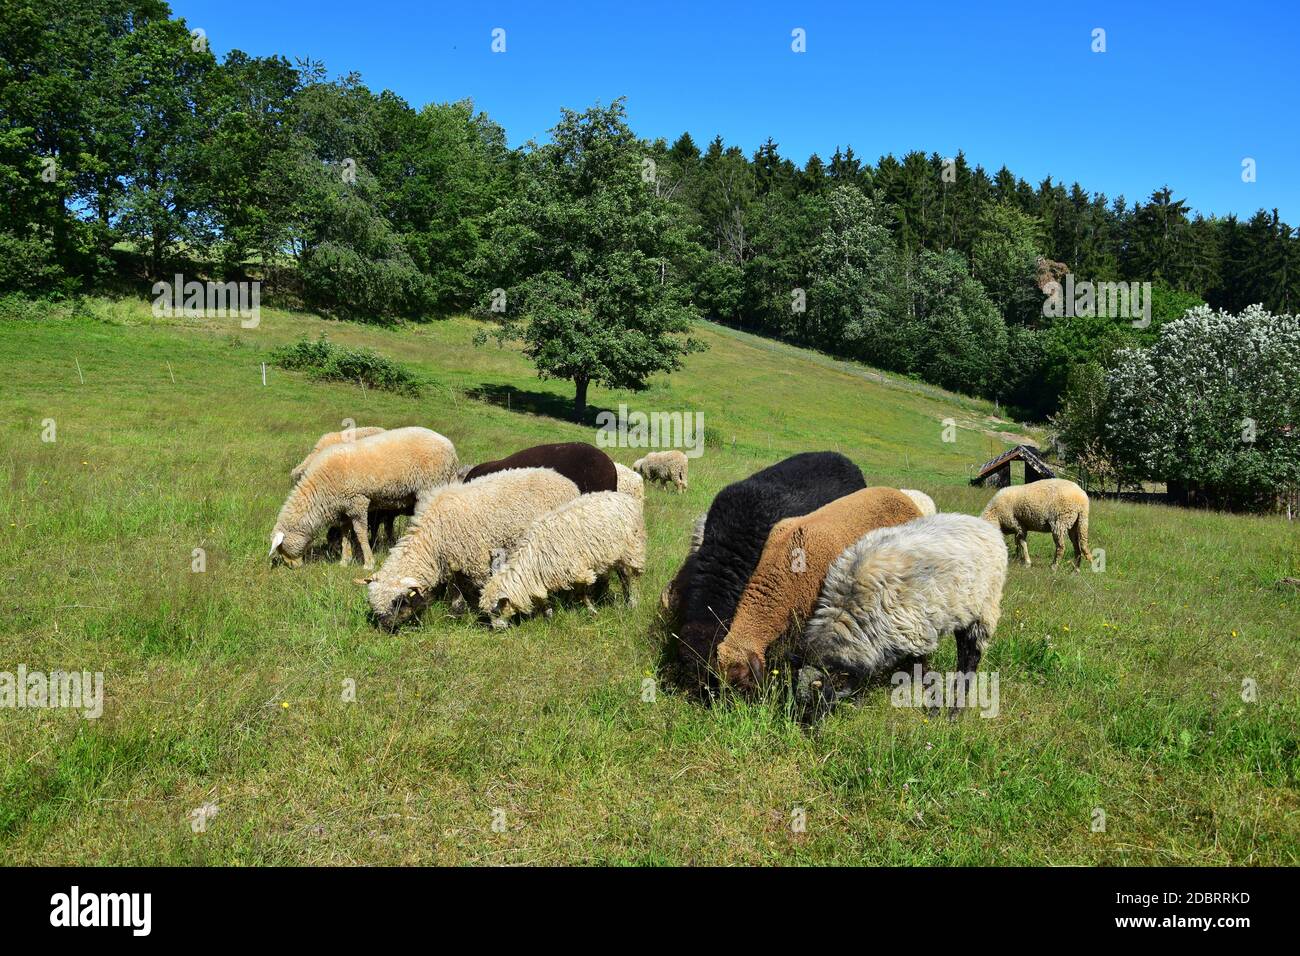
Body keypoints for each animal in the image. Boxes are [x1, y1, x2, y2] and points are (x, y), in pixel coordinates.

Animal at [269, 427, 458, 570]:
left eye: (281, 548)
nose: (292, 567)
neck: (321, 490)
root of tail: (450, 447)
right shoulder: (343, 508)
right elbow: (345, 534)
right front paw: (345, 561)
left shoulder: (358, 502)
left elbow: (360, 534)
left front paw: (368, 562)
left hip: (430, 485)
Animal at [367, 467, 581, 629]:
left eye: (398, 602)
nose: (385, 628)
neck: (433, 535)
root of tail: (565, 480)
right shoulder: (451, 561)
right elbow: (455, 588)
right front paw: (456, 612)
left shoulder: (475, 560)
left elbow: (480, 586)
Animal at [479, 491, 646, 628]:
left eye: (496, 611)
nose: (497, 629)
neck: (533, 559)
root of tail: (626, 497)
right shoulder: (545, 578)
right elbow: (546, 600)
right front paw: (549, 615)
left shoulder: (576, 571)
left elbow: (581, 593)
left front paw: (591, 611)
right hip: (618, 555)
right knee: (624, 577)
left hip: (633, 548)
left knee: (633, 577)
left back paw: (633, 602)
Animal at [796, 513, 1007, 719]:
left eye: (821, 691)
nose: (812, 724)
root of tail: (983, 524)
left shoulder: (916, 635)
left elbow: (923, 672)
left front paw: (934, 709)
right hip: (964, 611)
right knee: (964, 649)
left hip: (984, 609)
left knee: (971, 656)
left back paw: (955, 708)